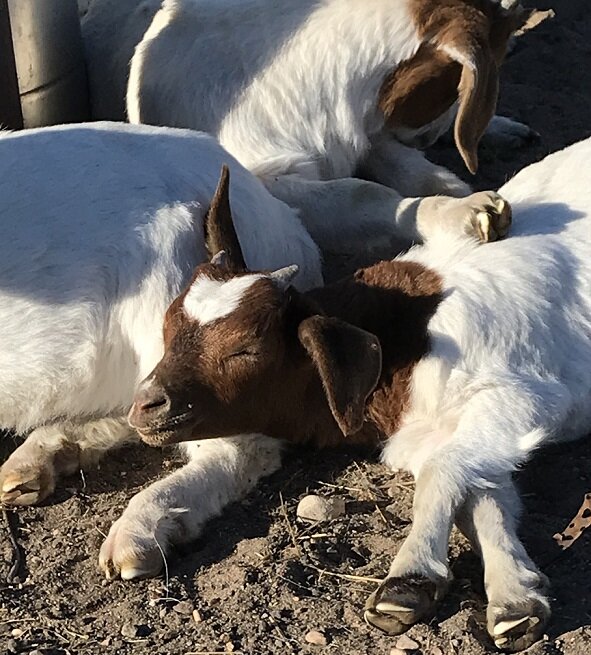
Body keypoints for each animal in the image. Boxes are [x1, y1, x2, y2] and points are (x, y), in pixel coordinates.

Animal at [82, 0, 532, 251]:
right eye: (453, 84)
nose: (433, 136)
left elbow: (385, 158)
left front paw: (447, 185)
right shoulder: (261, 184)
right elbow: (363, 193)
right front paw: (464, 211)